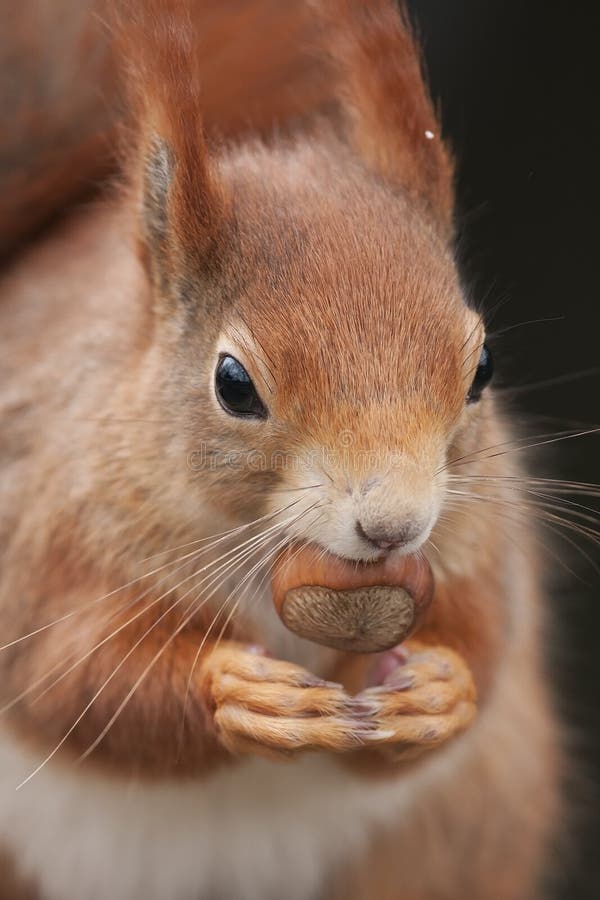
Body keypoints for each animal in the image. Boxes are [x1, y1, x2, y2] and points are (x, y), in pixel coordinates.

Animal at [0, 1, 561, 899]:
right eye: (233, 384)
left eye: (483, 367)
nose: (394, 528)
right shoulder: (39, 535)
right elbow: (74, 675)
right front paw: (234, 688)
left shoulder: (478, 542)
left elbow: (488, 630)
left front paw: (443, 689)